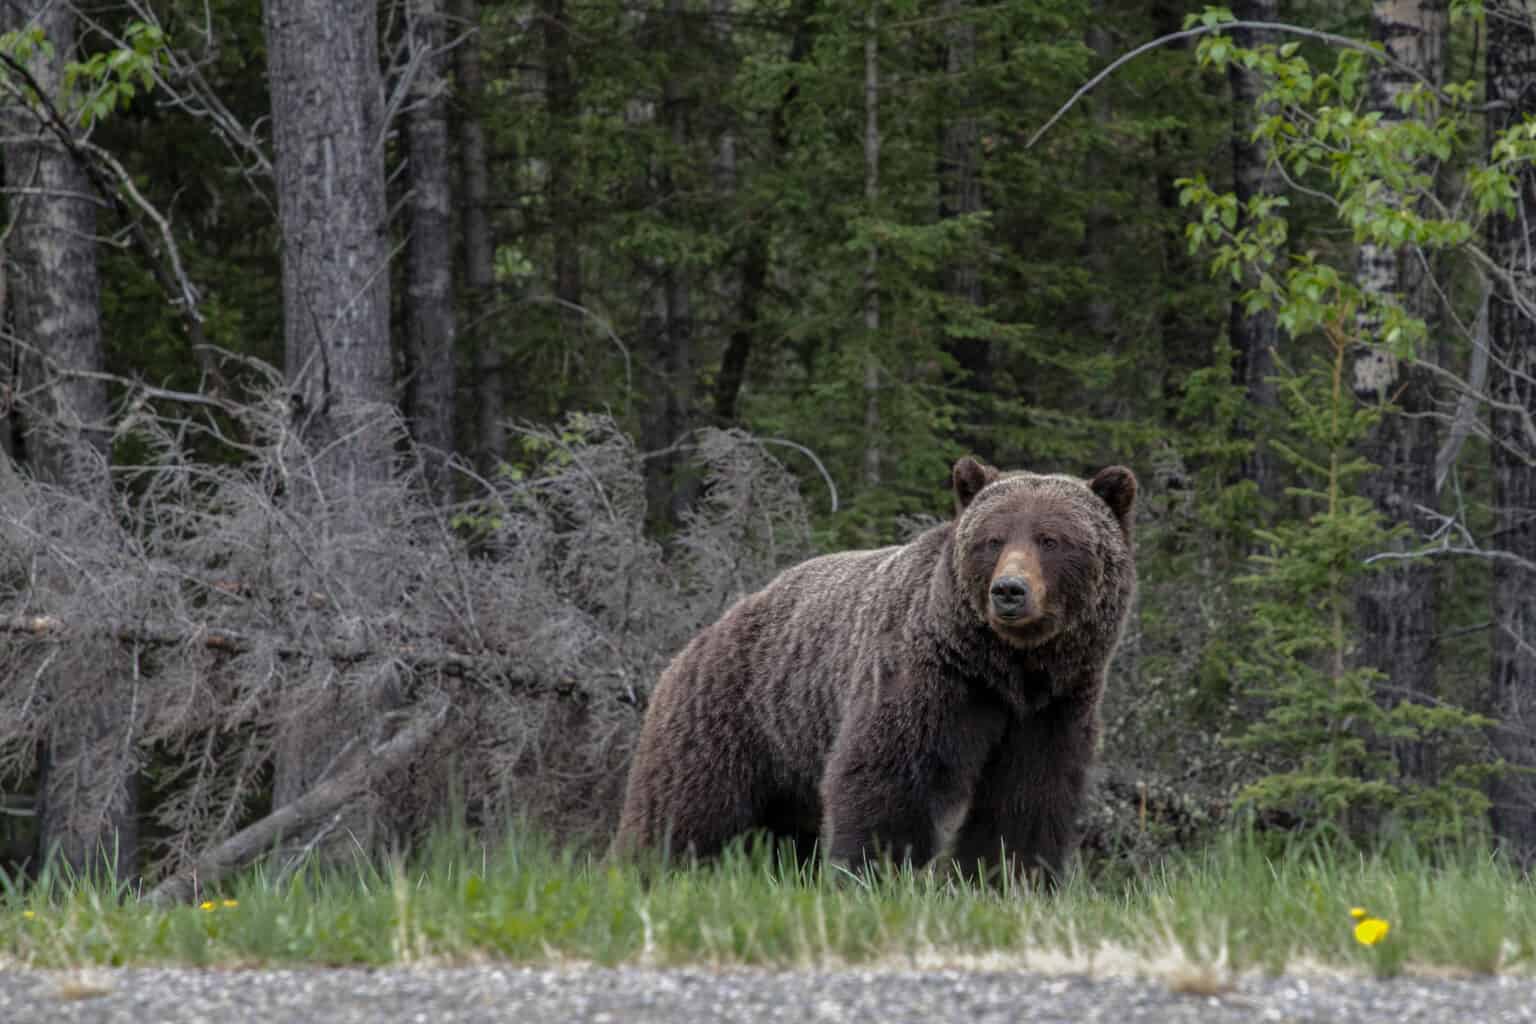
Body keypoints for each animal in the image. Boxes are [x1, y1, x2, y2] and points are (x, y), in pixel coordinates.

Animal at [613, 456, 1137, 883]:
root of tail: (697, 640)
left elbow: (1027, 796)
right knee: (683, 809)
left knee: (783, 831)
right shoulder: (930, 677)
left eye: (1051, 539)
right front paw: (876, 872)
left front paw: (1009, 878)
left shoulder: (1052, 707)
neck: (1008, 669)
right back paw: (646, 871)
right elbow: (888, 774)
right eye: (993, 540)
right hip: (730, 717)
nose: (1009, 590)